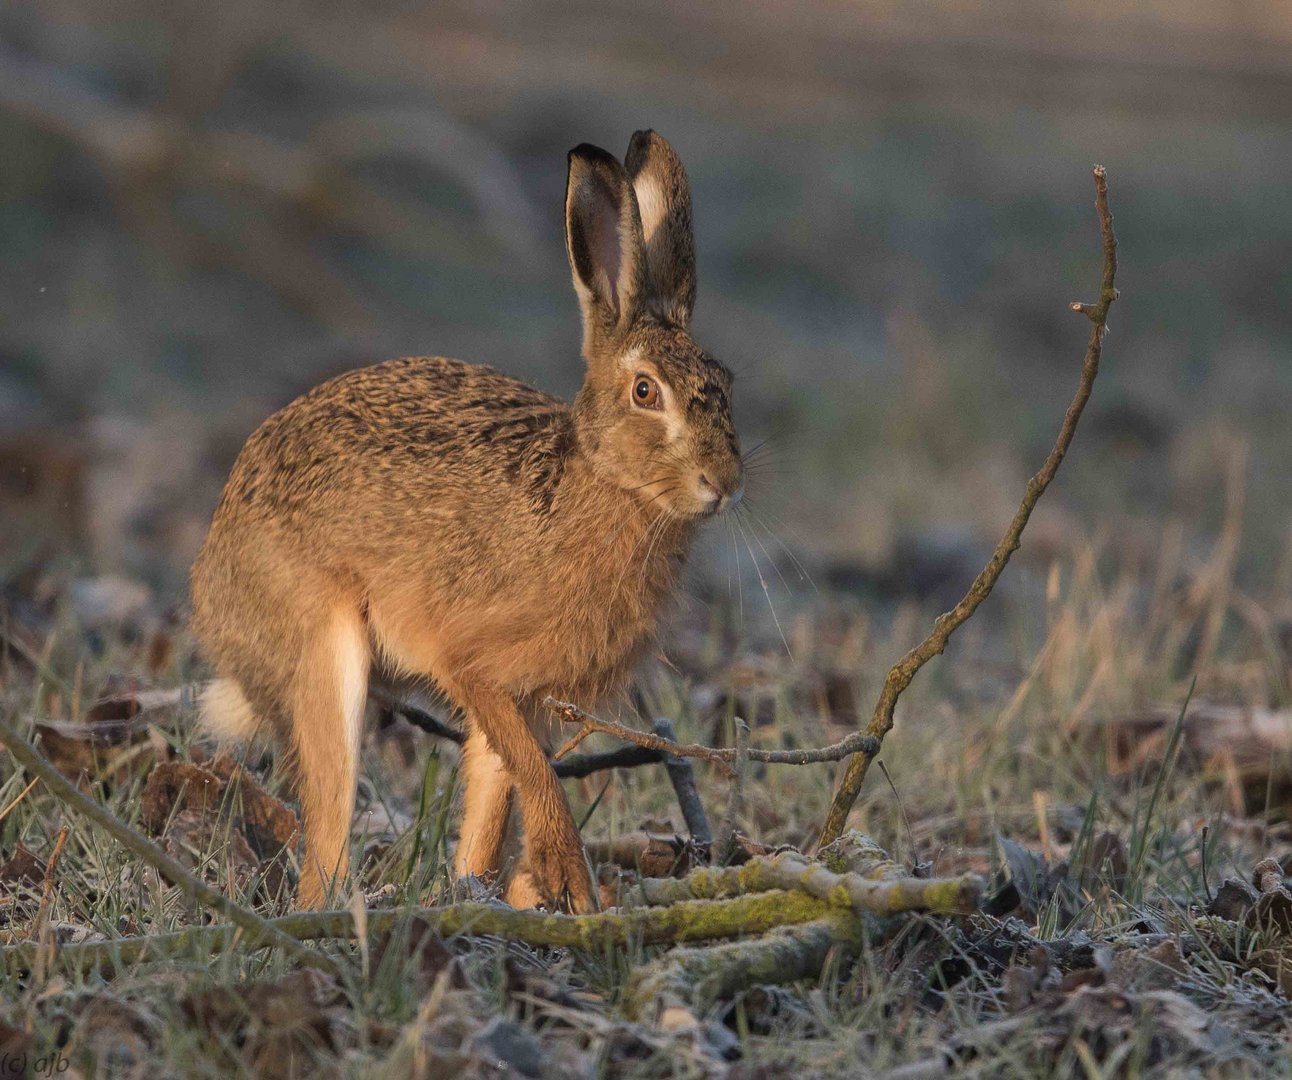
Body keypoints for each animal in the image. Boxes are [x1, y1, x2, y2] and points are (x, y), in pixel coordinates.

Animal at [190, 130, 743, 913]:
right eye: (645, 392)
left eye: (725, 386)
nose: (721, 482)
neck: (598, 487)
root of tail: (210, 576)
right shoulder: (473, 664)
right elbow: (536, 776)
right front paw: (571, 885)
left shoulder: (527, 699)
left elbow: (499, 791)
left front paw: (520, 894)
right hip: (322, 651)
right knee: (325, 828)